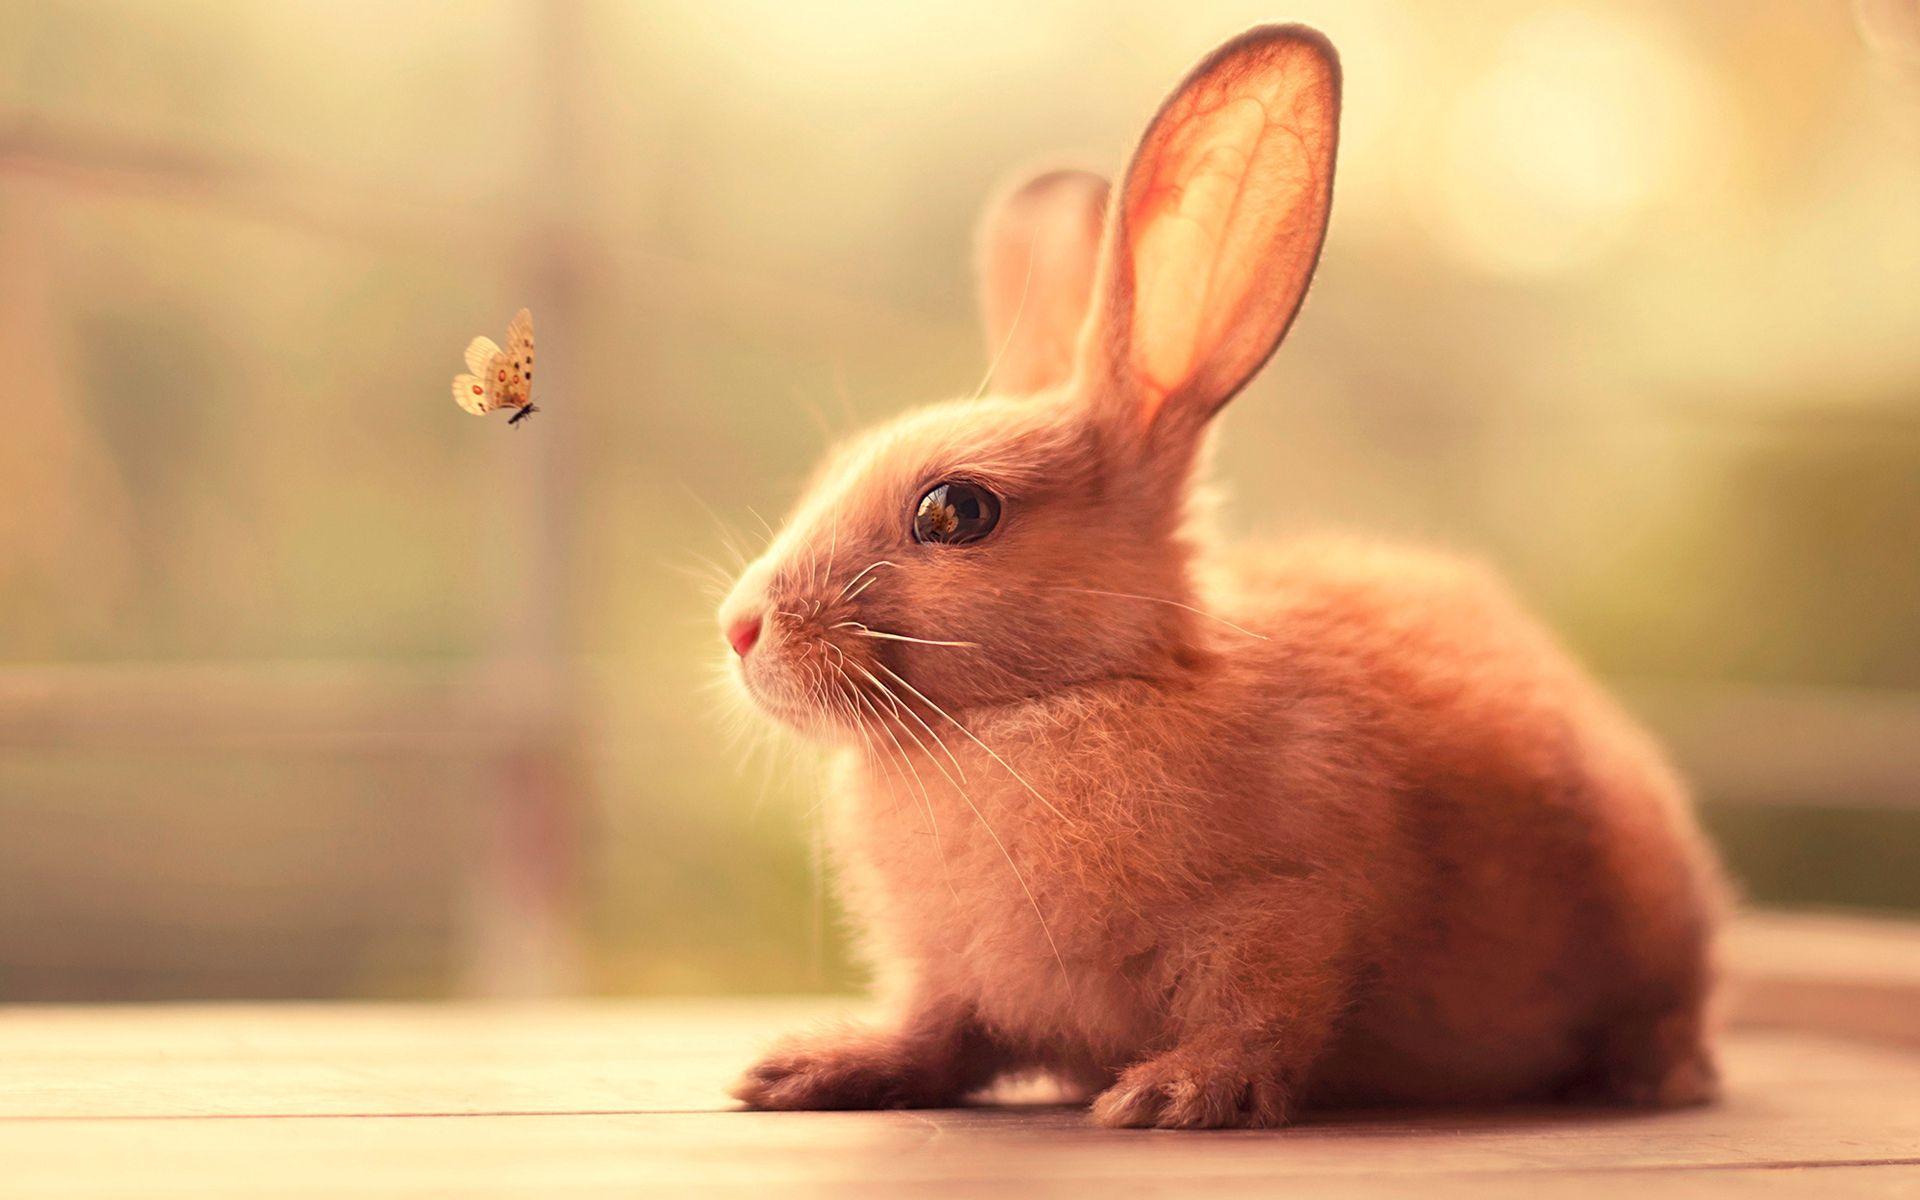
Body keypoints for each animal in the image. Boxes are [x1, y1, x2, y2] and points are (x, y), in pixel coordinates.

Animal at [715, 24, 1726, 1129]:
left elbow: (1259, 1019)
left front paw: (1171, 1094)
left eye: (956, 512)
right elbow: (935, 1036)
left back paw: (1655, 1077)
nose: (741, 628)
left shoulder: (1286, 915)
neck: (1049, 703)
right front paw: (808, 1070)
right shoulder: (953, 981)